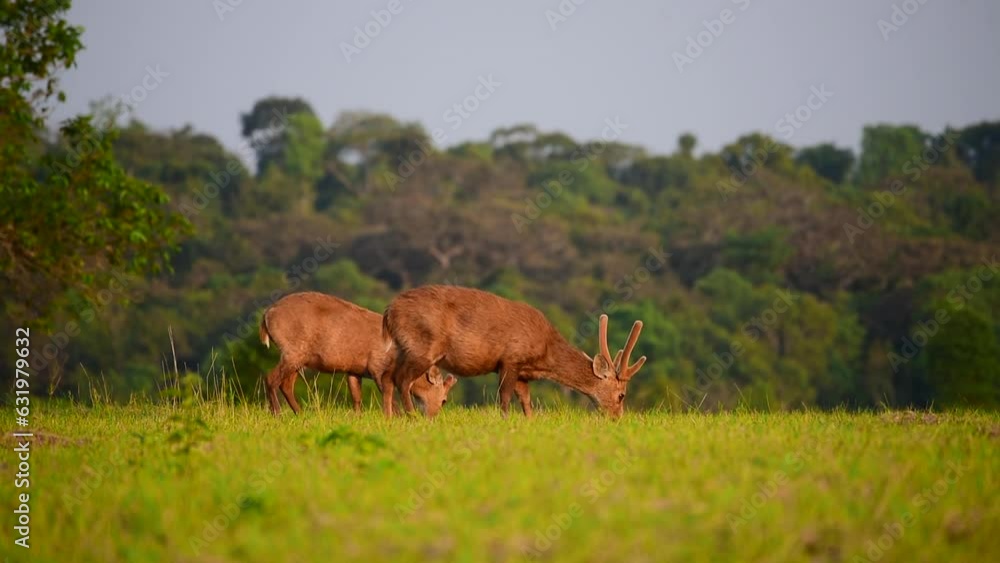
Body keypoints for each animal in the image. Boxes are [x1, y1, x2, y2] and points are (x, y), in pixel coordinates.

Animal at [259, 291, 457, 417]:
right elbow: (390, 398)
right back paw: (278, 414)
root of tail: (266, 315)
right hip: (293, 351)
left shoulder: (355, 369)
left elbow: (357, 397)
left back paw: (300, 414)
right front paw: (398, 417)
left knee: (286, 384)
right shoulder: (377, 367)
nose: (432, 418)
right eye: (444, 400)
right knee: (270, 378)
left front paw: (358, 418)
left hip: (298, 357)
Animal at [380, 285, 646, 418]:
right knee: (402, 379)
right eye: (622, 395)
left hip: (401, 347)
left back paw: (390, 417)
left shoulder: (523, 374)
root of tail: (388, 311)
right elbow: (505, 397)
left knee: (387, 377)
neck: (545, 354)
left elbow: (526, 401)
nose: (617, 418)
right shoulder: (510, 359)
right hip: (423, 346)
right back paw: (412, 416)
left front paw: (529, 422)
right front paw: (506, 421)